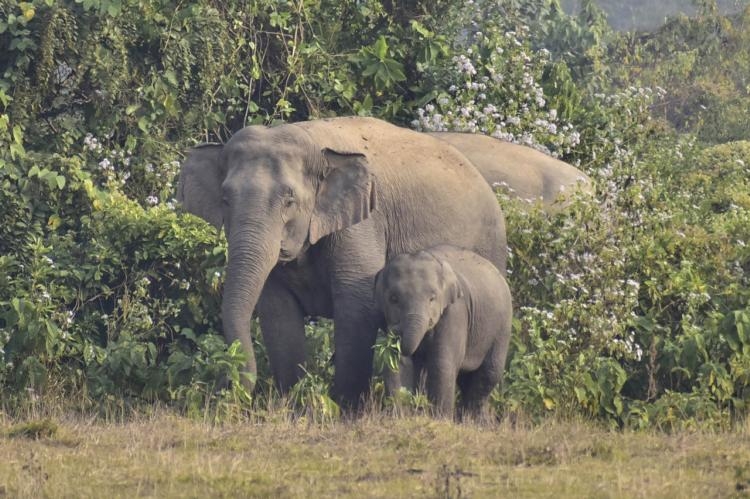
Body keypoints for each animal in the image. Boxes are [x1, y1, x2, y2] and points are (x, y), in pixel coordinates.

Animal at [374, 245, 512, 419]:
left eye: (432, 298)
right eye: (393, 299)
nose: (395, 331)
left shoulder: (455, 311)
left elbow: (442, 363)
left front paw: (440, 419)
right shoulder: (382, 314)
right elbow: (395, 362)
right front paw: (399, 417)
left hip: (502, 326)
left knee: (489, 372)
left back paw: (475, 420)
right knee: (466, 379)